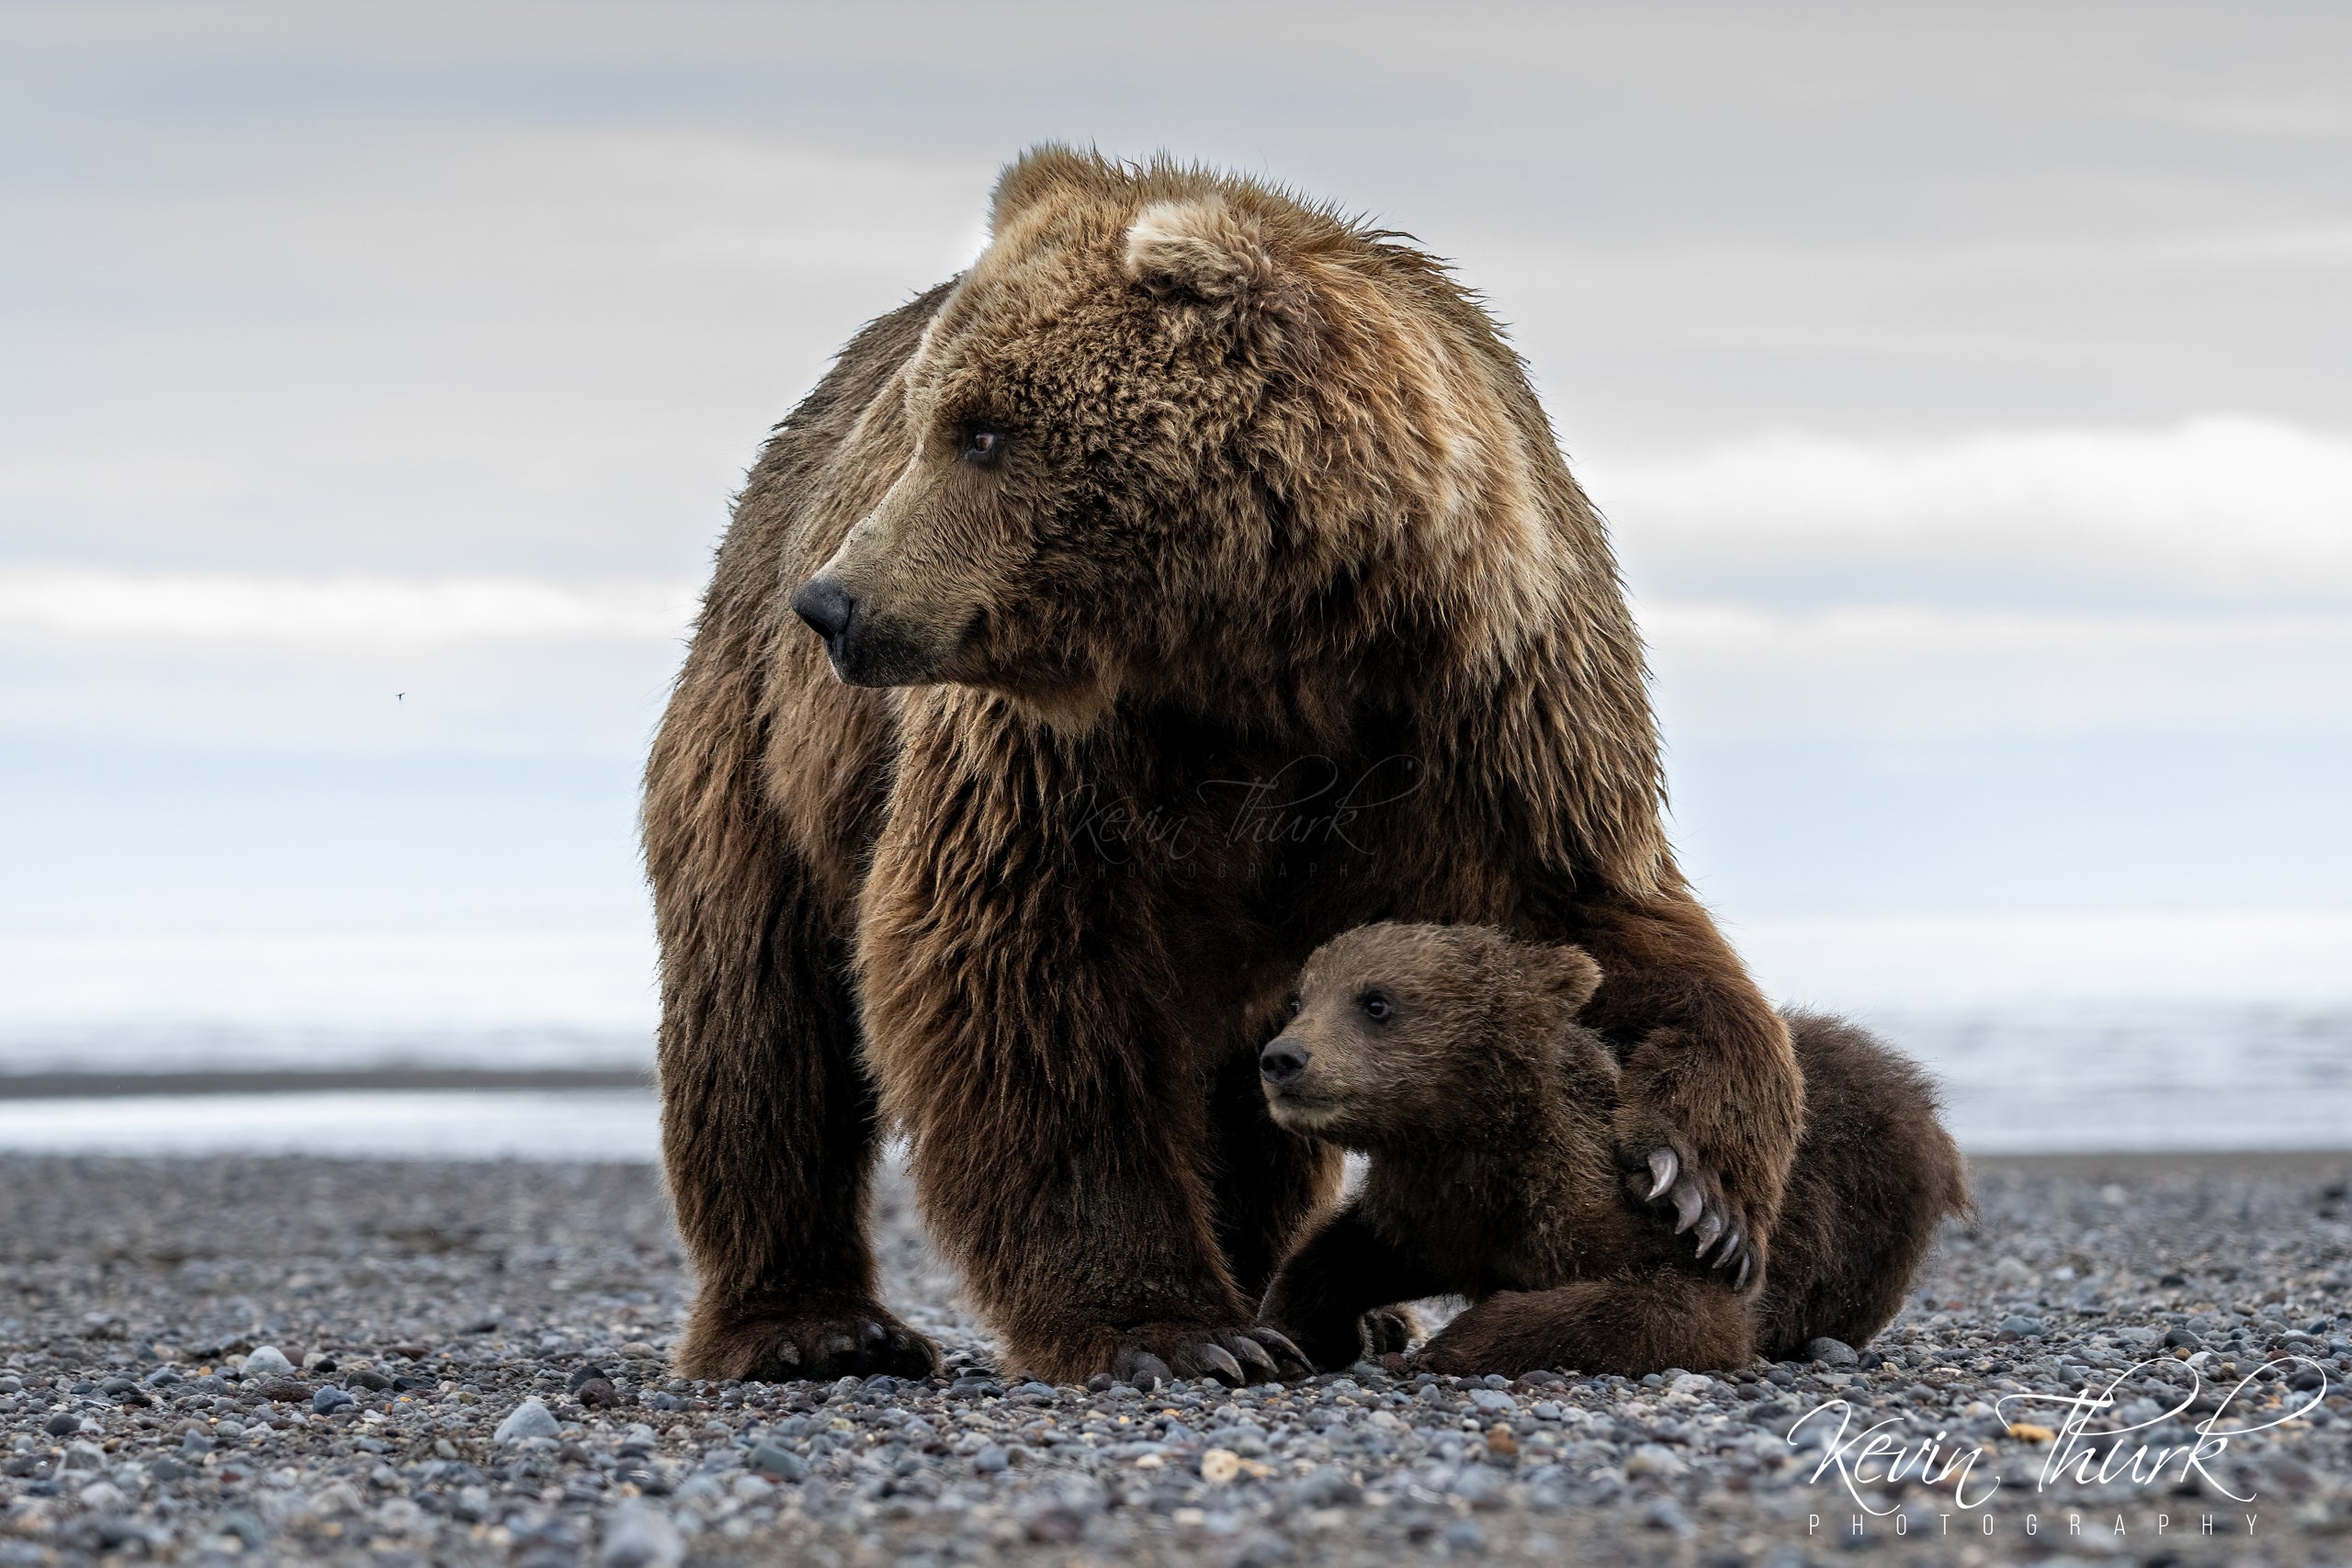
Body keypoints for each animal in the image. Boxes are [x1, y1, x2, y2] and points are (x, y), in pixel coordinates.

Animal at [641, 145, 1806, 1388]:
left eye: (983, 433)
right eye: (922, 425)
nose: (832, 603)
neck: (1261, 655)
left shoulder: (1478, 713)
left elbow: (1593, 916)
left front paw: (1697, 1183)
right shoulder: (1067, 757)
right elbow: (1022, 972)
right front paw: (1172, 1329)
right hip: (757, 756)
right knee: (762, 1022)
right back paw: (809, 1326)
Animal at [1254, 923, 1970, 1377]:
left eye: (1375, 1001)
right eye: (1299, 997)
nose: (1282, 1058)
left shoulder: (1638, 1218)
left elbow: (1675, 1309)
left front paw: (1459, 1340)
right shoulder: (1435, 1212)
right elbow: (1342, 1253)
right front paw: (1304, 1331)